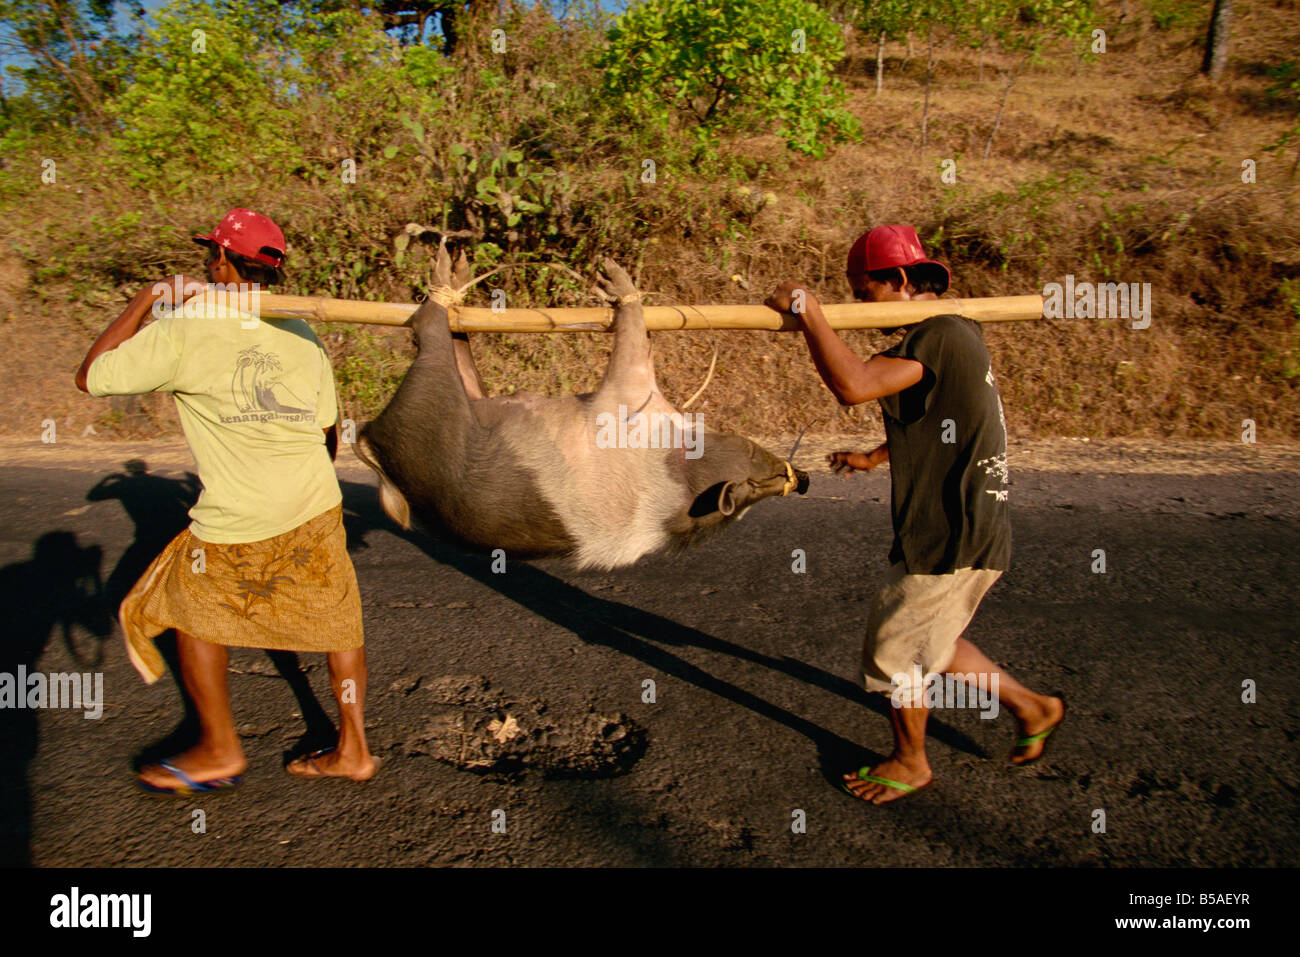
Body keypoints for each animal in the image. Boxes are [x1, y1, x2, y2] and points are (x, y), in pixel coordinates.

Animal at [355, 247, 809, 571]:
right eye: (751, 451)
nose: (801, 478)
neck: (678, 472)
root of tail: (372, 436)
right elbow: (640, 336)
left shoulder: (626, 394)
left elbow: (632, 333)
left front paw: (615, 278)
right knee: (459, 344)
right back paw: (460, 278)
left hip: (430, 396)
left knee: (432, 332)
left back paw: (445, 281)